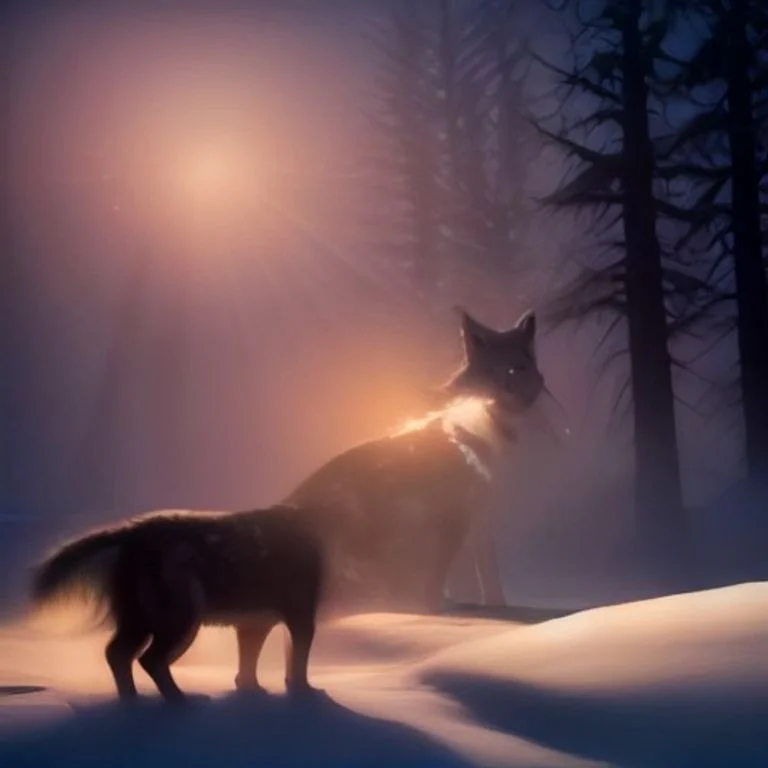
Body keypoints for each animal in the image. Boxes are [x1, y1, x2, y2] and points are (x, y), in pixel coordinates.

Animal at [30, 505, 324, 702]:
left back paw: (133, 702)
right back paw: (180, 700)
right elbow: (298, 661)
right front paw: (304, 693)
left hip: (140, 617)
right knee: (150, 659)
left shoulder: (256, 622)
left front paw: (252, 689)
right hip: (179, 617)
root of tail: (131, 533)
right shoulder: (301, 613)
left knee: (117, 654)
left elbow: (249, 662)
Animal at [280, 308, 545, 616]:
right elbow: (443, 582)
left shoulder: (479, 519)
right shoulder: (454, 517)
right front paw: (441, 609)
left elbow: (490, 584)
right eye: (491, 373)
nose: (508, 392)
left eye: (519, 368)